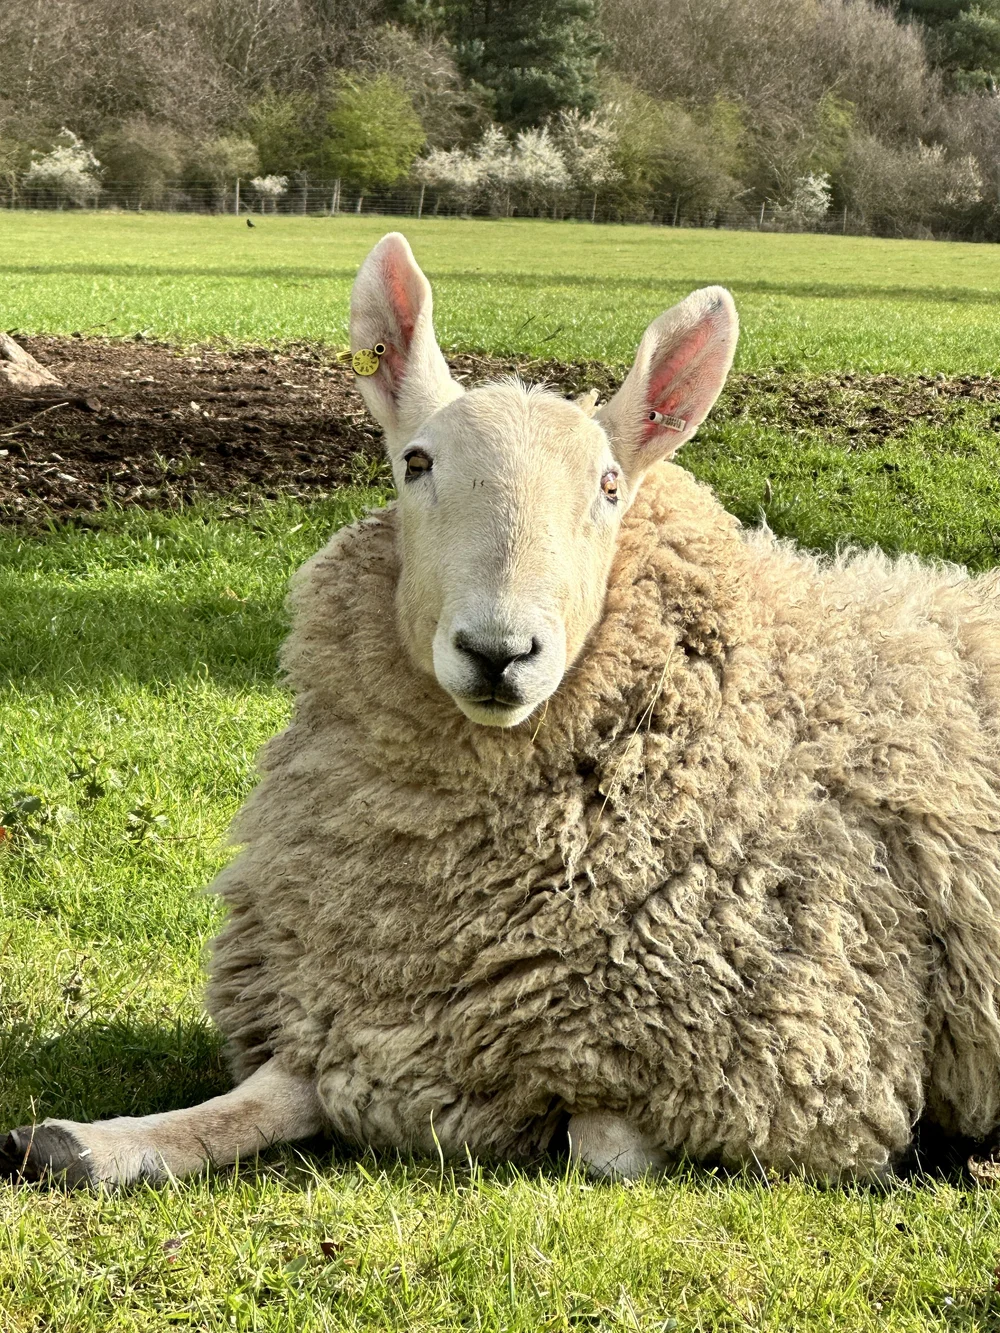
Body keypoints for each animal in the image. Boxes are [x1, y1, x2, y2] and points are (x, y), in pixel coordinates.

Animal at [6, 231, 1000, 1188]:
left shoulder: (803, 1059)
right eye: (415, 462)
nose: (499, 649)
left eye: (609, 484)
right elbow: (257, 1098)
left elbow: (600, 1146)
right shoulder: (364, 1016)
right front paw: (93, 1142)